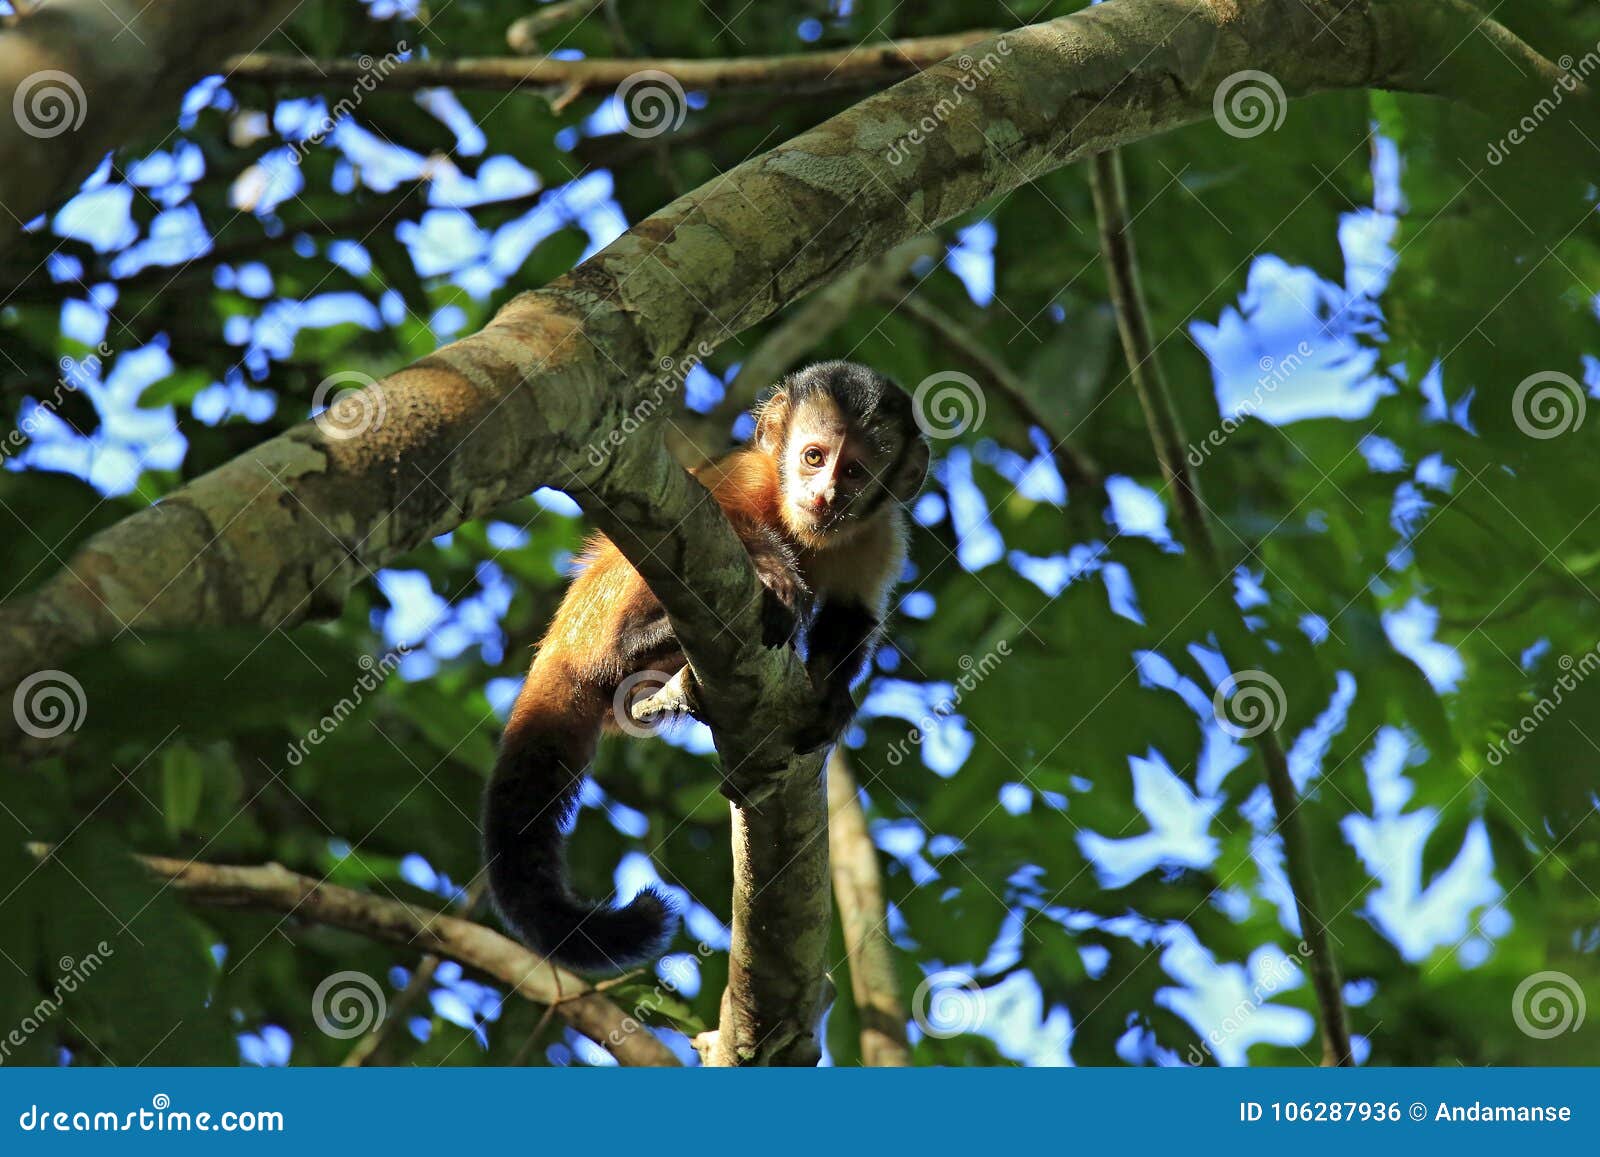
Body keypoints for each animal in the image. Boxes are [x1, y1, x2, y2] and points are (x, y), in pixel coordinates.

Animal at [481, 361, 930, 972]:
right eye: (814, 456)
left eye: (855, 471)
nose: (824, 493)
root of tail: (561, 640)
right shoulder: (748, 472)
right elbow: (719, 519)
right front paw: (778, 575)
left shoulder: (881, 534)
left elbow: (852, 617)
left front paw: (829, 698)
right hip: (598, 617)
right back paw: (644, 640)